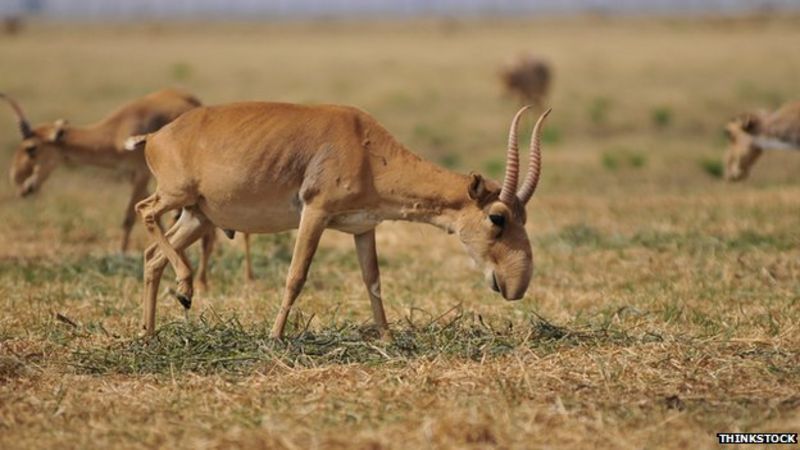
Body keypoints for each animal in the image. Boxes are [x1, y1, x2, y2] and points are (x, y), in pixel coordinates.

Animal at [2, 89, 253, 288]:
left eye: (31, 148)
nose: (19, 183)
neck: (116, 130)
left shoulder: (140, 174)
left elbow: (128, 218)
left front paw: (122, 257)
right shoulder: (135, 177)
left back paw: (211, 281)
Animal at [131, 101, 550, 338]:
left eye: (524, 216)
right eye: (497, 217)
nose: (515, 286)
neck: (366, 146)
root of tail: (155, 136)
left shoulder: (363, 227)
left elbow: (373, 281)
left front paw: (387, 339)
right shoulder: (315, 214)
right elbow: (296, 275)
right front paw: (275, 337)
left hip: (198, 217)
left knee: (152, 256)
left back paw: (150, 334)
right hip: (176, 197)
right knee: (145, 211)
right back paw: (184, 288)